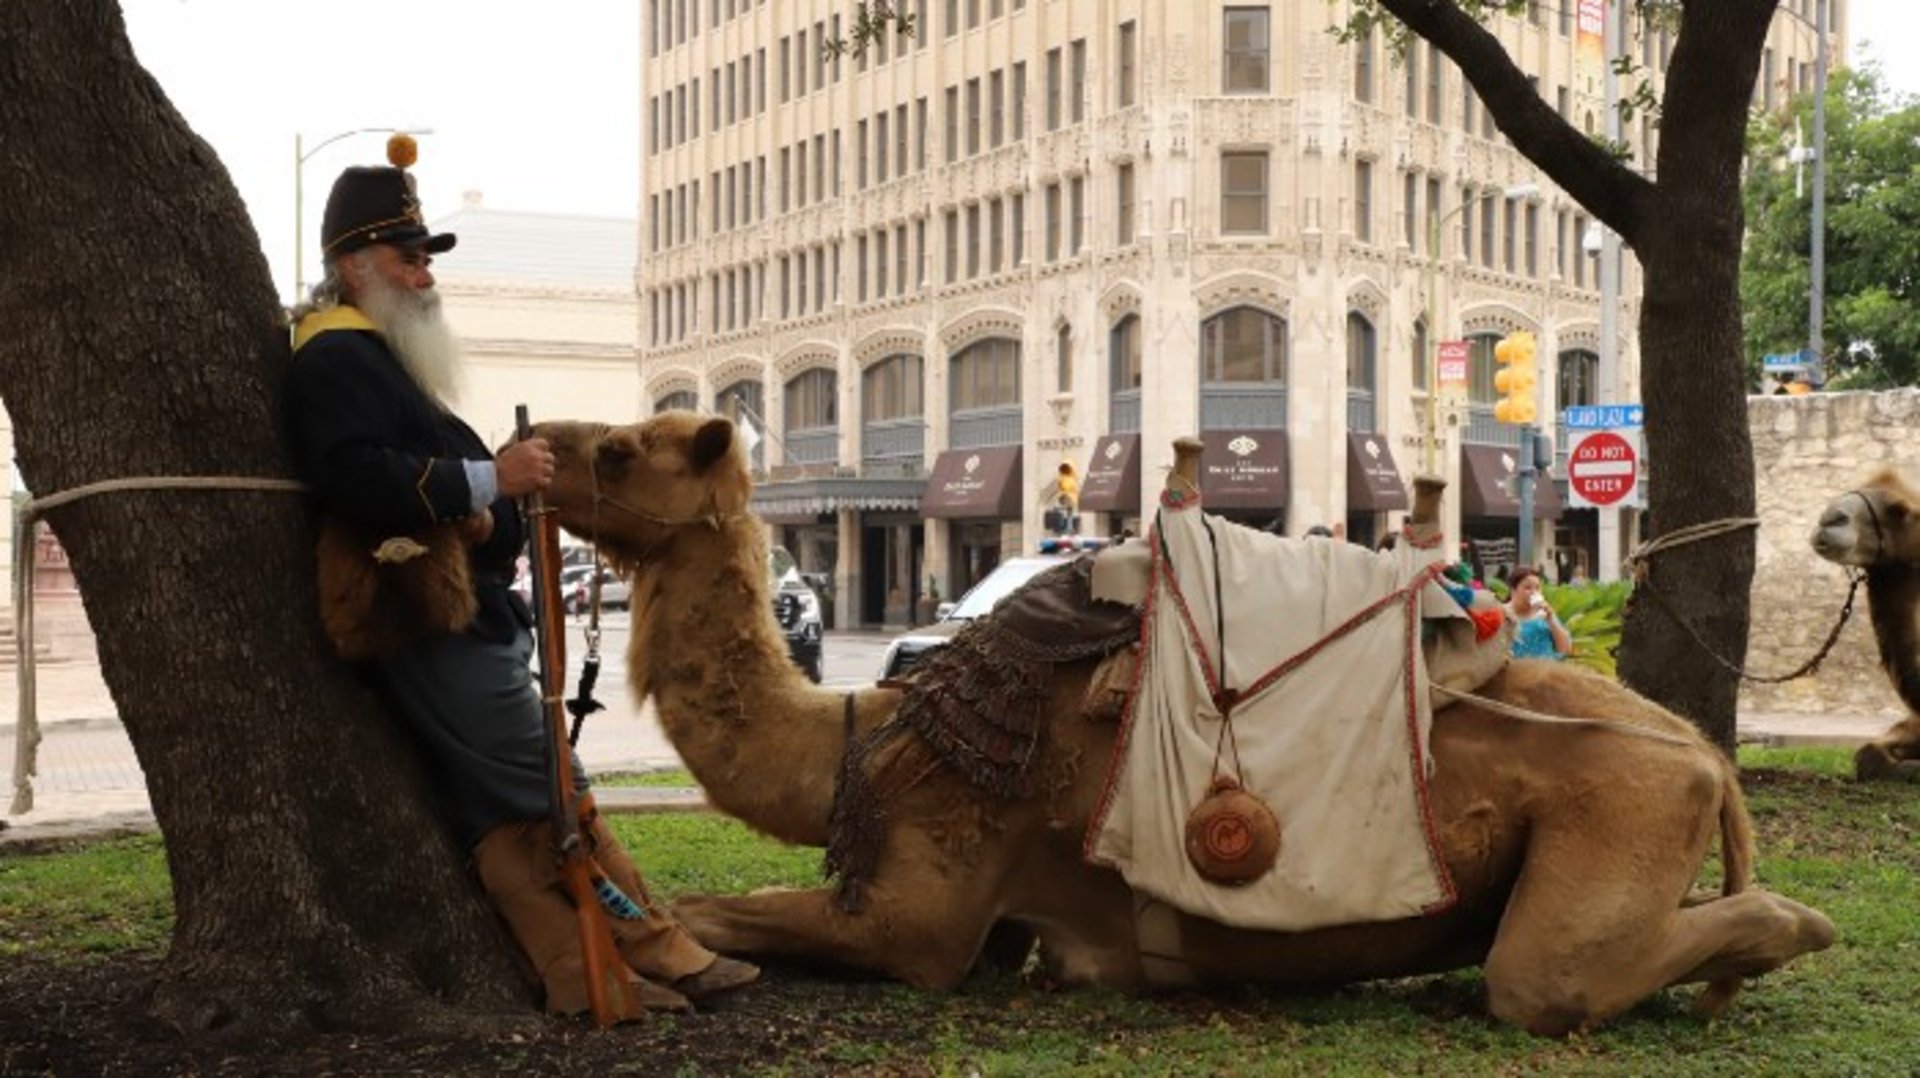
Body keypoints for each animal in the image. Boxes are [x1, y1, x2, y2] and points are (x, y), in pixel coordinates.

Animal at [533, 412, 1834, 1036]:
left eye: (624, 449)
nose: (532, 444)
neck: (868, 728)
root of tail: (1709, 759)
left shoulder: (928, 914)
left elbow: (738, 911)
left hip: (1619, 810)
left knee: (1554, 976)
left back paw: (1779, 941)